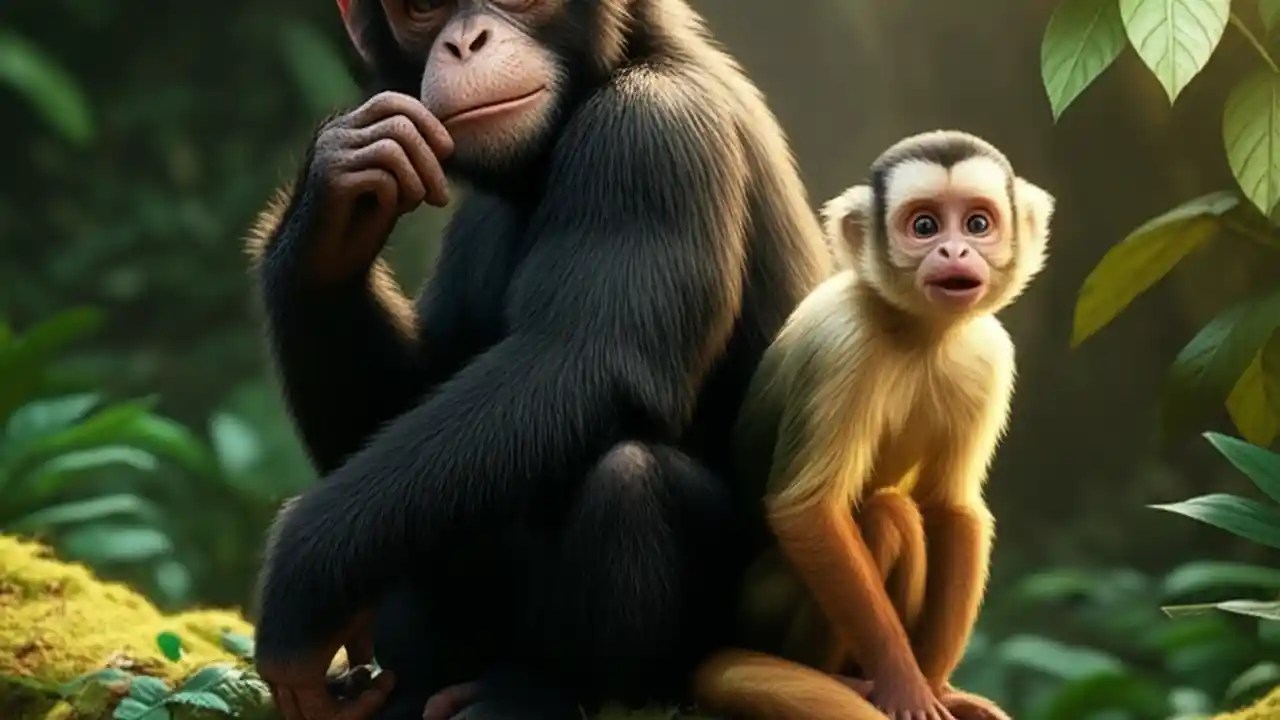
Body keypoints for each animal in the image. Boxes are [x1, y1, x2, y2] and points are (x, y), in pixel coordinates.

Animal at [242, 1, 831, 719]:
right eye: (422, 11)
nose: (467, 42)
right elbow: (396, 408)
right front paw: (333, 199)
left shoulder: (649, 135)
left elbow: (581, 363)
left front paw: (301, 575)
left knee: (628, 480)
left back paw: (546, 692)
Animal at [692, 130, 1055, 720]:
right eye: (924, 226)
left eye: (977, 224)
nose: (954, 251)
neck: (919, 331)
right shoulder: (845, 345)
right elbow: (807, 512)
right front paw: (904, 684)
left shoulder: (989, 354)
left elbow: (951, 507)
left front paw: (937, 687)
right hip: (759, 608)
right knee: (886, 516)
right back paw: (837, 677)